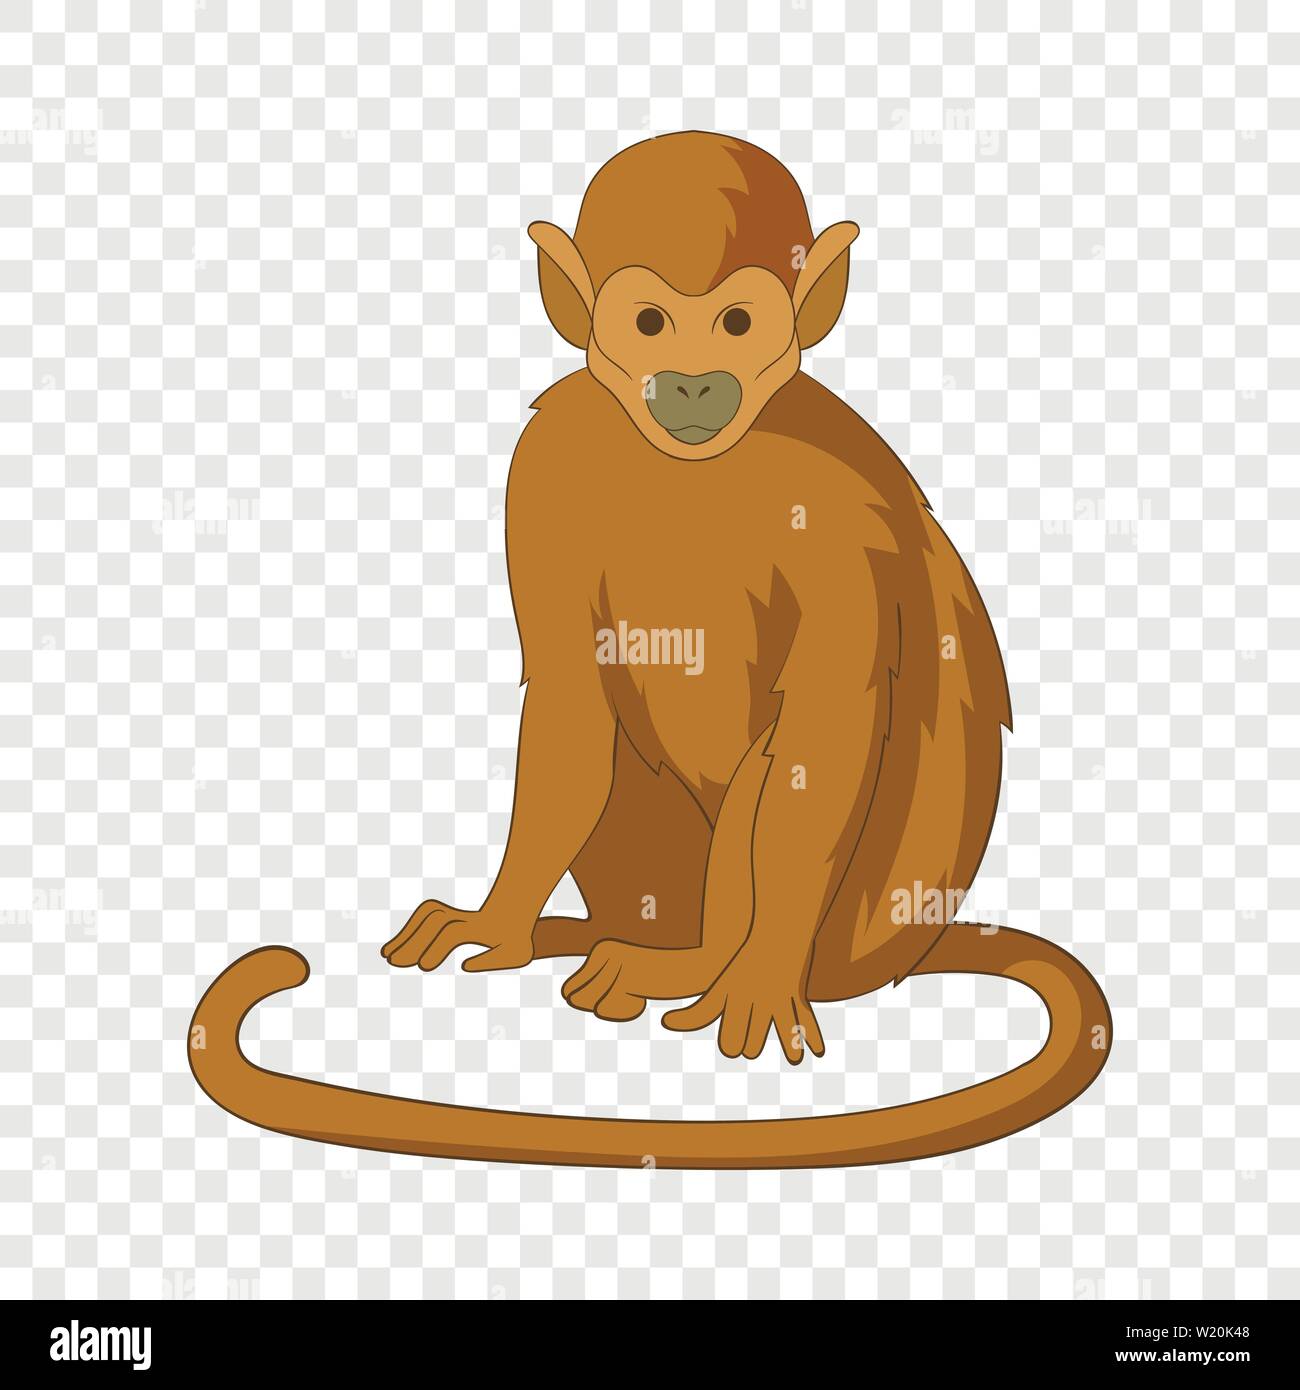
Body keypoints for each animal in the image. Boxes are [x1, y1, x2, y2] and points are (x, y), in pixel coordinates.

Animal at [190, 132, 1111, 1169]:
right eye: (652, 322)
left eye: (738, 321)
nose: (697, 380)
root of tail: (912, 947)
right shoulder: (547, 461)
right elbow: (569, 695)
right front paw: (497, 916)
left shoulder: (836, 512)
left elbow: (824, 733)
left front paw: (754, 972)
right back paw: (605, 938)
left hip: (865, 915)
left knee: (783, 763)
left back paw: (706, 964)